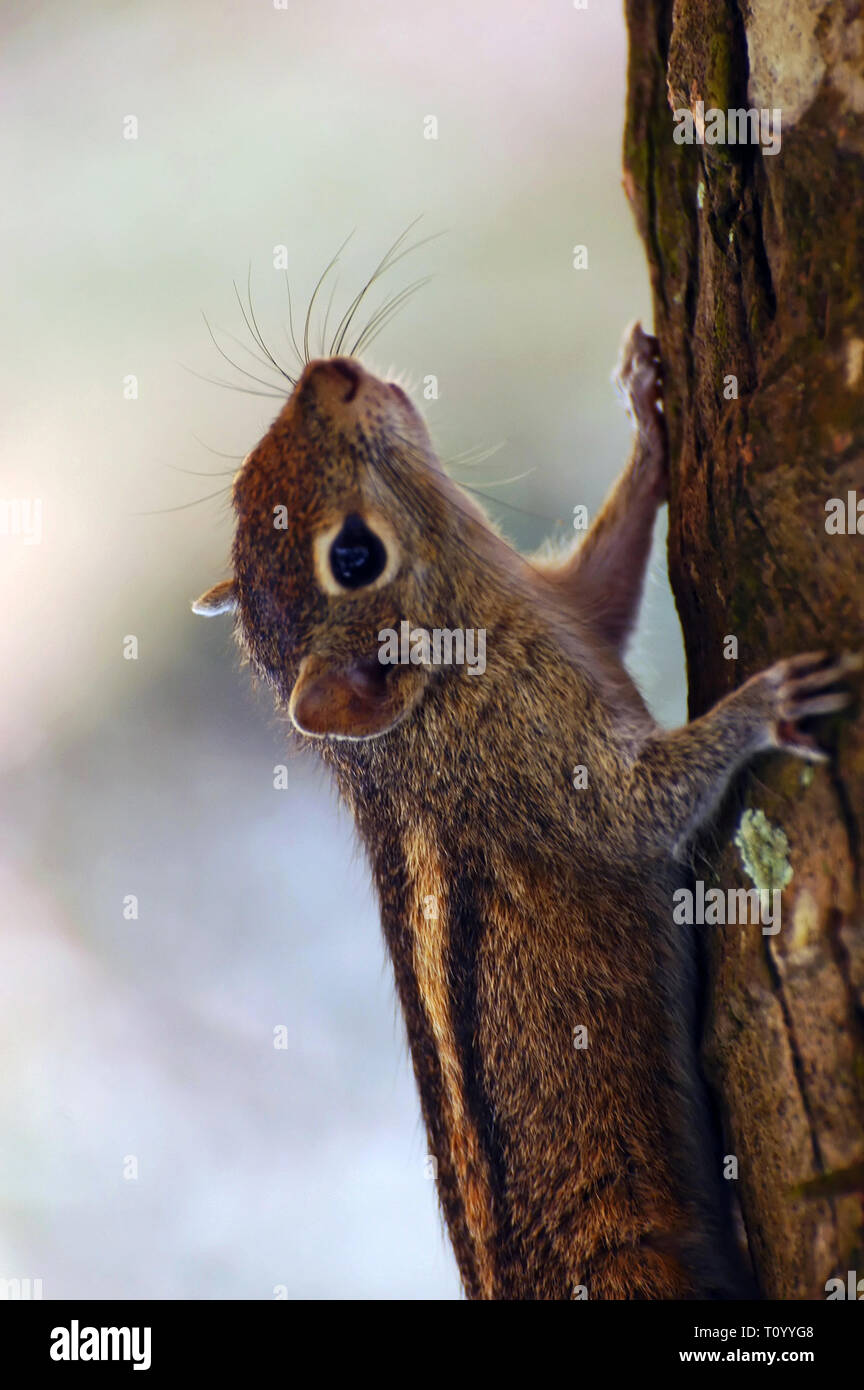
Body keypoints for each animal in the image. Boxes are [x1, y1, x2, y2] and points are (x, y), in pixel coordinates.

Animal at [193, 322, 857, 1300]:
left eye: (243, 480)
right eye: (352, 557)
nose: (330, 373)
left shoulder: (575, 609)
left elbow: (611, 575)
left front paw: (647, 412)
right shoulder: (550, 768)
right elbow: (643, 808)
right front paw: (765, 704)